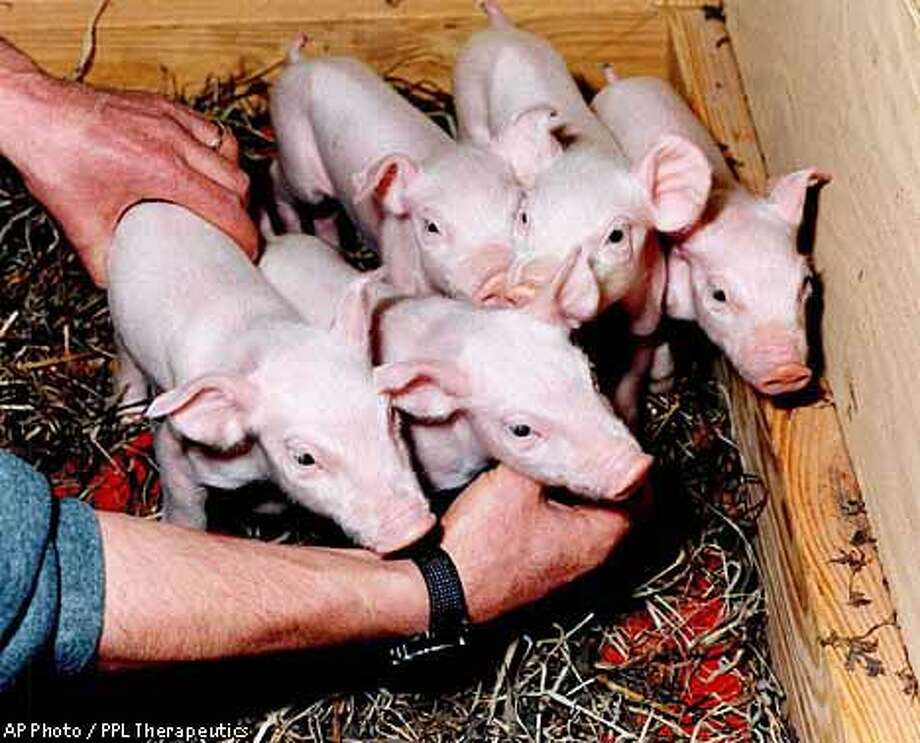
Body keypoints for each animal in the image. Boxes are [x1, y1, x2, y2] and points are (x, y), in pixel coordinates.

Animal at [108, 202, 434, 553]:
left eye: (391, 415)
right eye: (304, 458)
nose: (412, 527)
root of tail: (149, 205)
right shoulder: (175, 442)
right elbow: (184, 500)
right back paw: (128, 415)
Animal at [270, 35, 557, 304]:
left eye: (522, 215)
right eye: (431, 227)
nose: (498, 278)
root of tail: (300, 63)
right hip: (297, 162)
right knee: (279, 177)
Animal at [453, 0, 712, 331]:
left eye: (616, 236)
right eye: (524, 217)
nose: (533, 284)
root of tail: (499, 28)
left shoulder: (651, 273)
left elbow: (646, 325)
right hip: (465, 98)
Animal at [592, 69, 829, 395]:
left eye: (806, 283)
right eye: (719, 295)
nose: (788, 371)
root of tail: (618, 81)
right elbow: (656, 331)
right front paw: (662, 383)